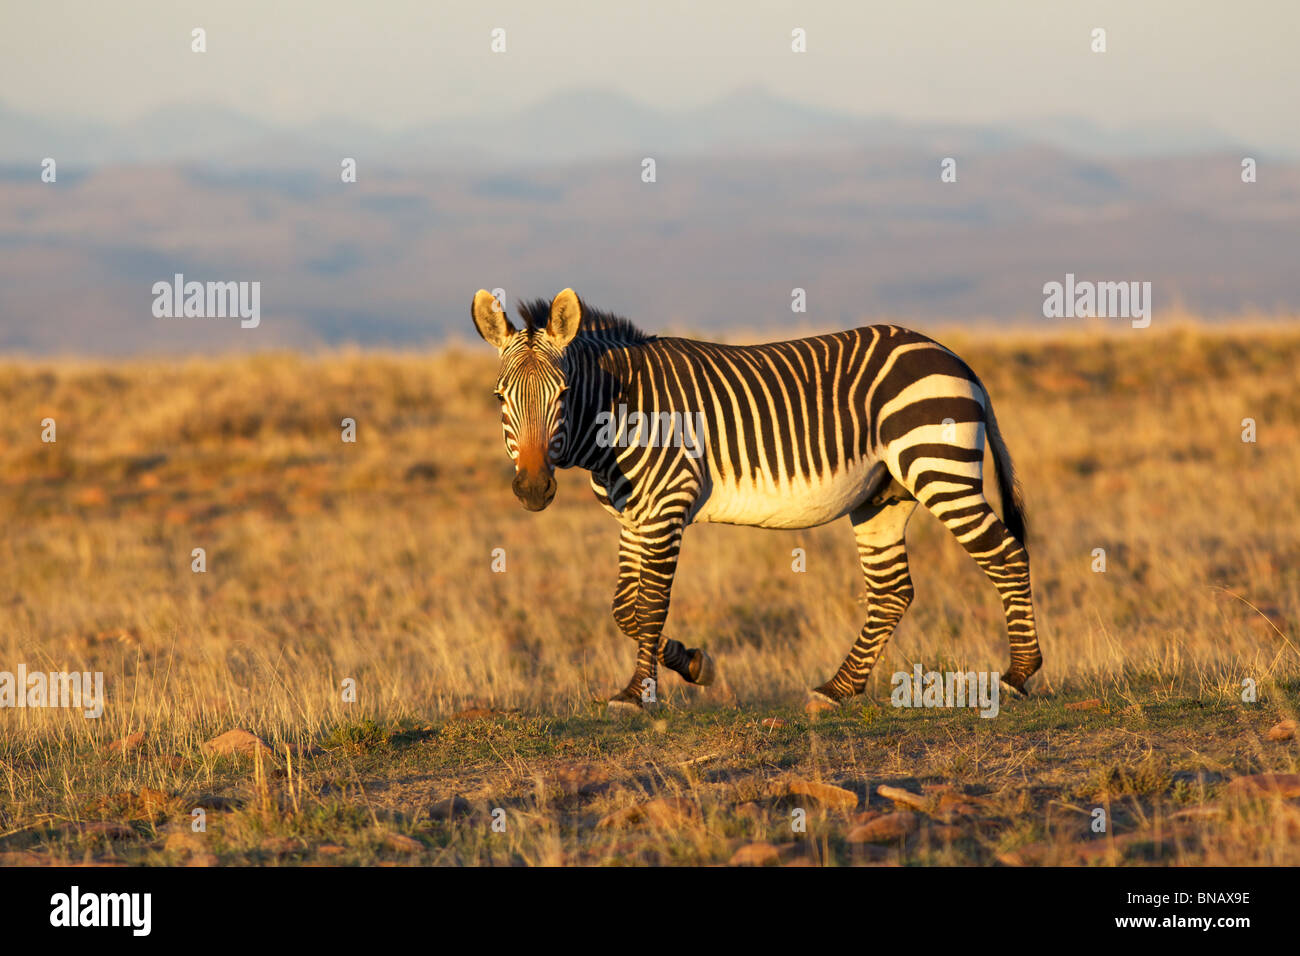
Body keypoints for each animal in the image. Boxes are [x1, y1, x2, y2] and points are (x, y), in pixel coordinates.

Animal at [471, 288, 1042, 712]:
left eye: (562, 394)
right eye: (500, 398)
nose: (533, 489)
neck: (619, 410)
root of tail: (954, 357)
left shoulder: (667, 508)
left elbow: (649, 607)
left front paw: (637, 695)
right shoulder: (633, 519)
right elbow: (624, 610)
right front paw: (694, 664)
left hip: (940, 470)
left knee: (1007, 555)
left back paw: (1017, 675)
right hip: (884, 496)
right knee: (893, 592)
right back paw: (837, 689)